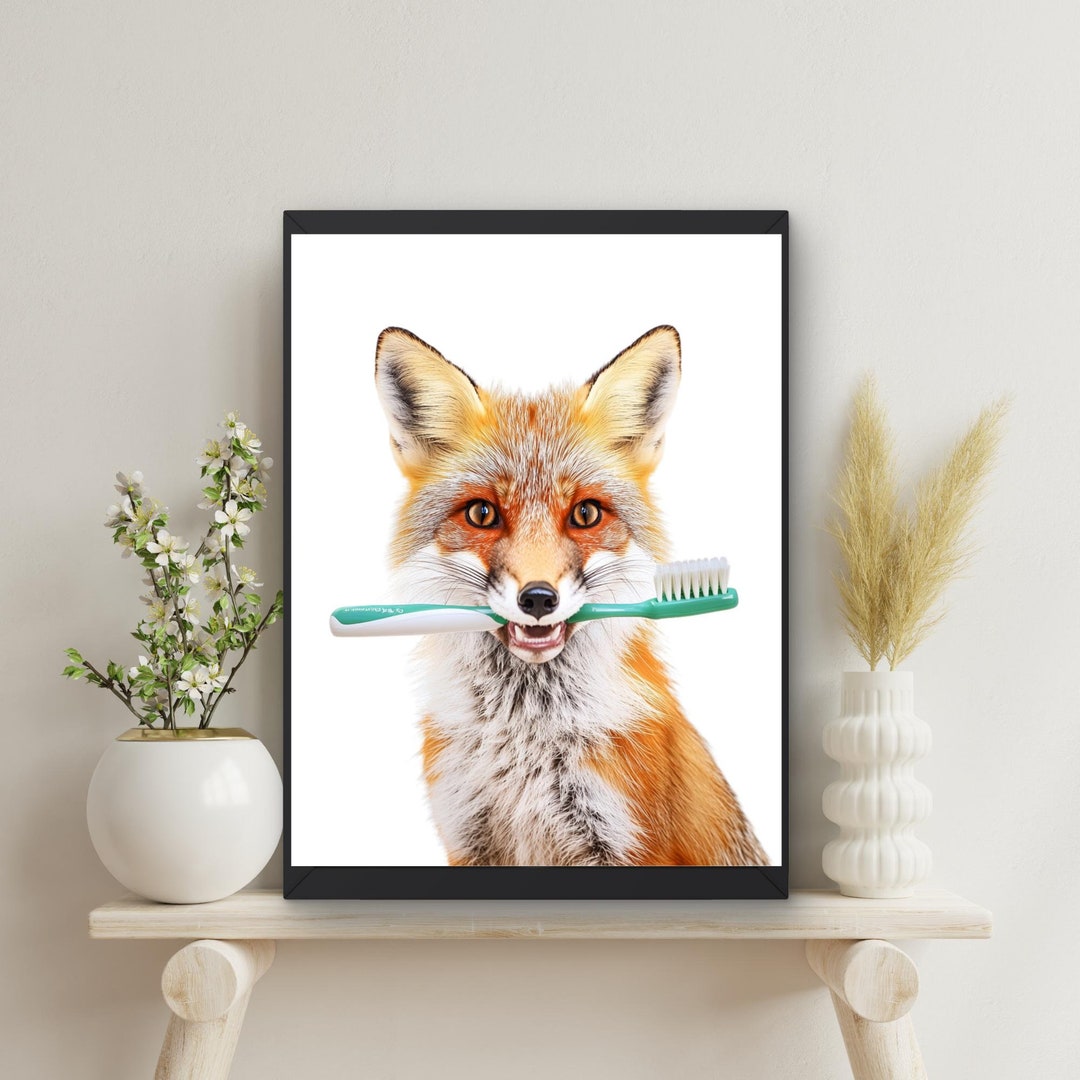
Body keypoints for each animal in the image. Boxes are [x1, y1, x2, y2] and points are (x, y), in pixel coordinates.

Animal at [374, 324, 767, 867]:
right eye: (481, 514)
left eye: (585, 514)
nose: (539, 598)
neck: (524, 737)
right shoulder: (467, 836)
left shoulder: (626, 838)